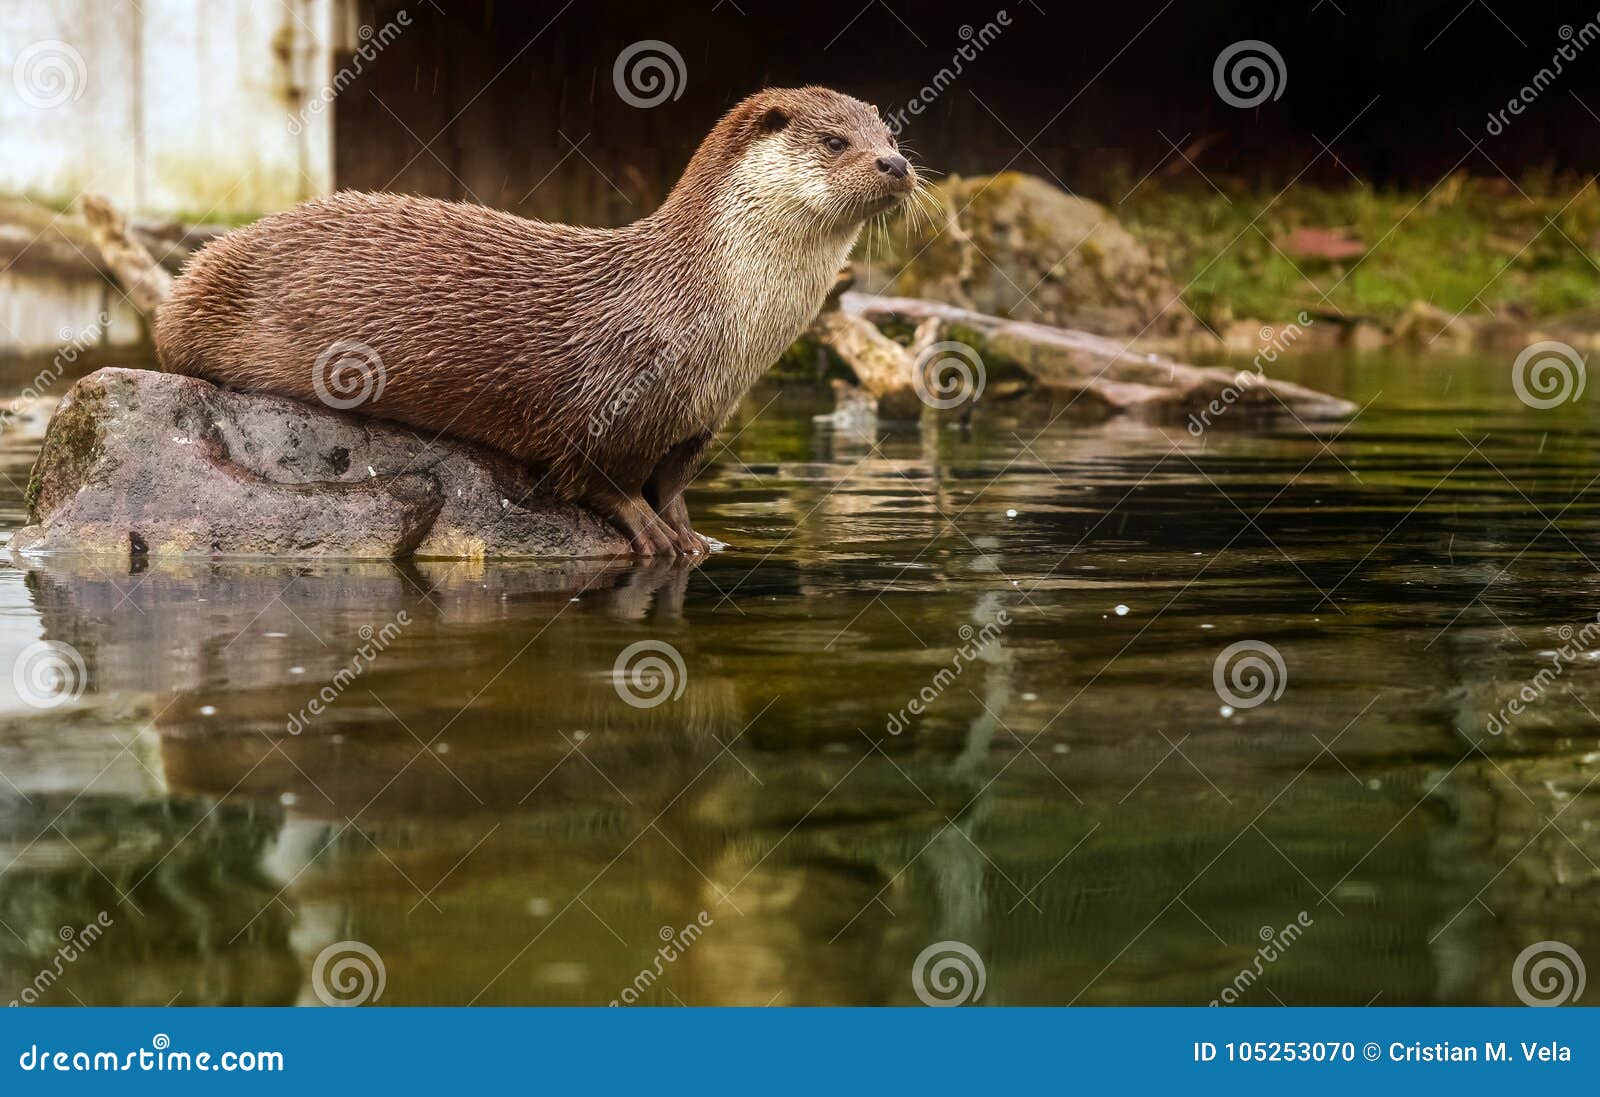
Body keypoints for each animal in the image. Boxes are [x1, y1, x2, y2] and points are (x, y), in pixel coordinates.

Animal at [154, 86, 917, 556]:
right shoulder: (616, 398)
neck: (716, 310)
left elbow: (673, 481)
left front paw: (690, 536)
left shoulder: (701, 417)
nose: (895, 163)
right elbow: (603, 479)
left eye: (890, 133)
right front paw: (649, 530)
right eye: (835, 141)